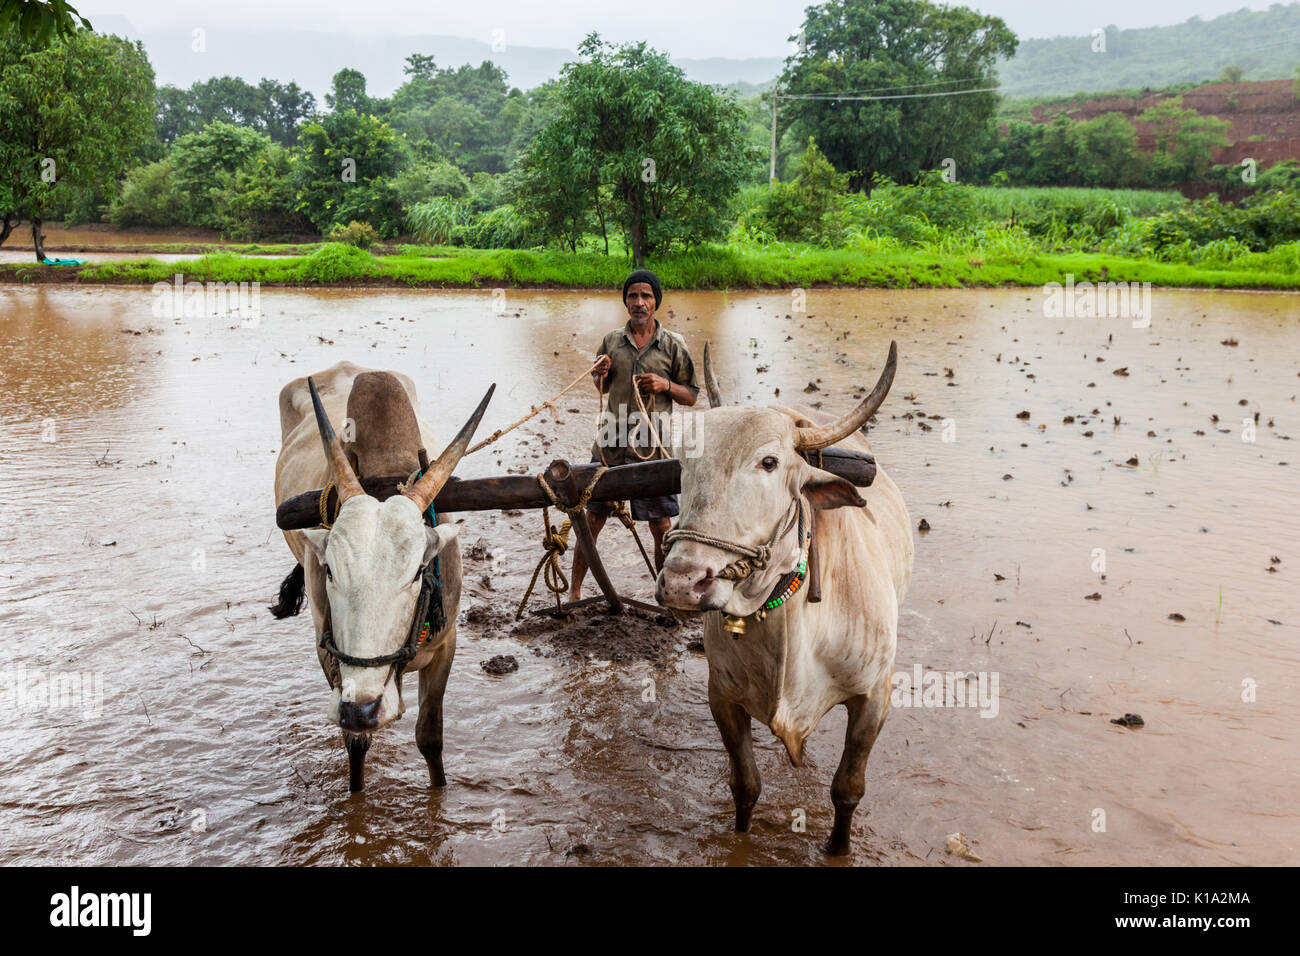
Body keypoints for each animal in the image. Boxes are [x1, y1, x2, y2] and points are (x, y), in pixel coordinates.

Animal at [270, 360, 493, 792]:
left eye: (419, 571)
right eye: (330, 571)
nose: (364, 710)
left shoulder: (447, 645)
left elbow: (430, 738)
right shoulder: (328, 652)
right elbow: (356, 744)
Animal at [656, 342, 912, 855]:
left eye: (769, 463)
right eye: (684, 465)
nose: (681, 582)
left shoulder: (875, 696)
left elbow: (847, 790)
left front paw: (837, 849)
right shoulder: (722, 697)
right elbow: (745, 786)